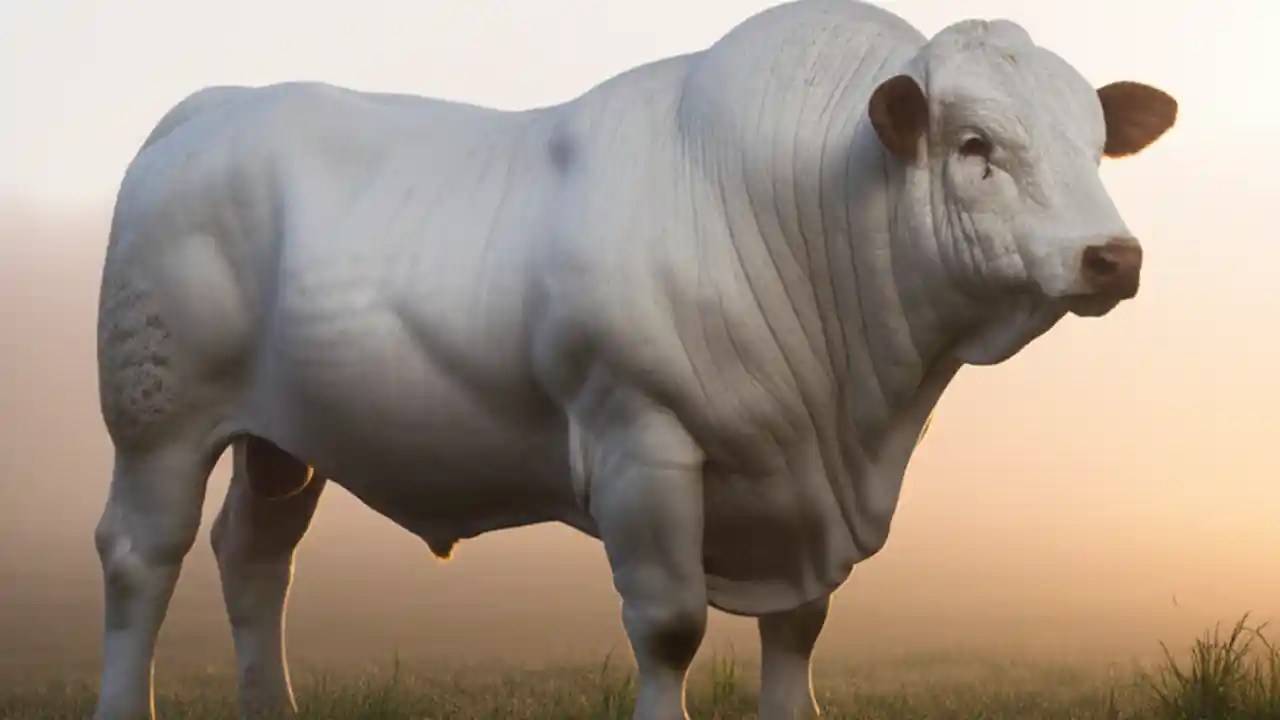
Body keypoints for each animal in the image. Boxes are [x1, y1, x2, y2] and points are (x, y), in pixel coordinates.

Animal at [91, 1, 1176, 718]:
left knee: (256, 557)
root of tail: (217, 105)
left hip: (282, 437)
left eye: (1095, 144)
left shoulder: (805, 493)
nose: (1112, 256)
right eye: (974, 144)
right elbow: (668, 628)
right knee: (142, 557)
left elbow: (798, 631)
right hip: (158, 416)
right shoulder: (639, 440)